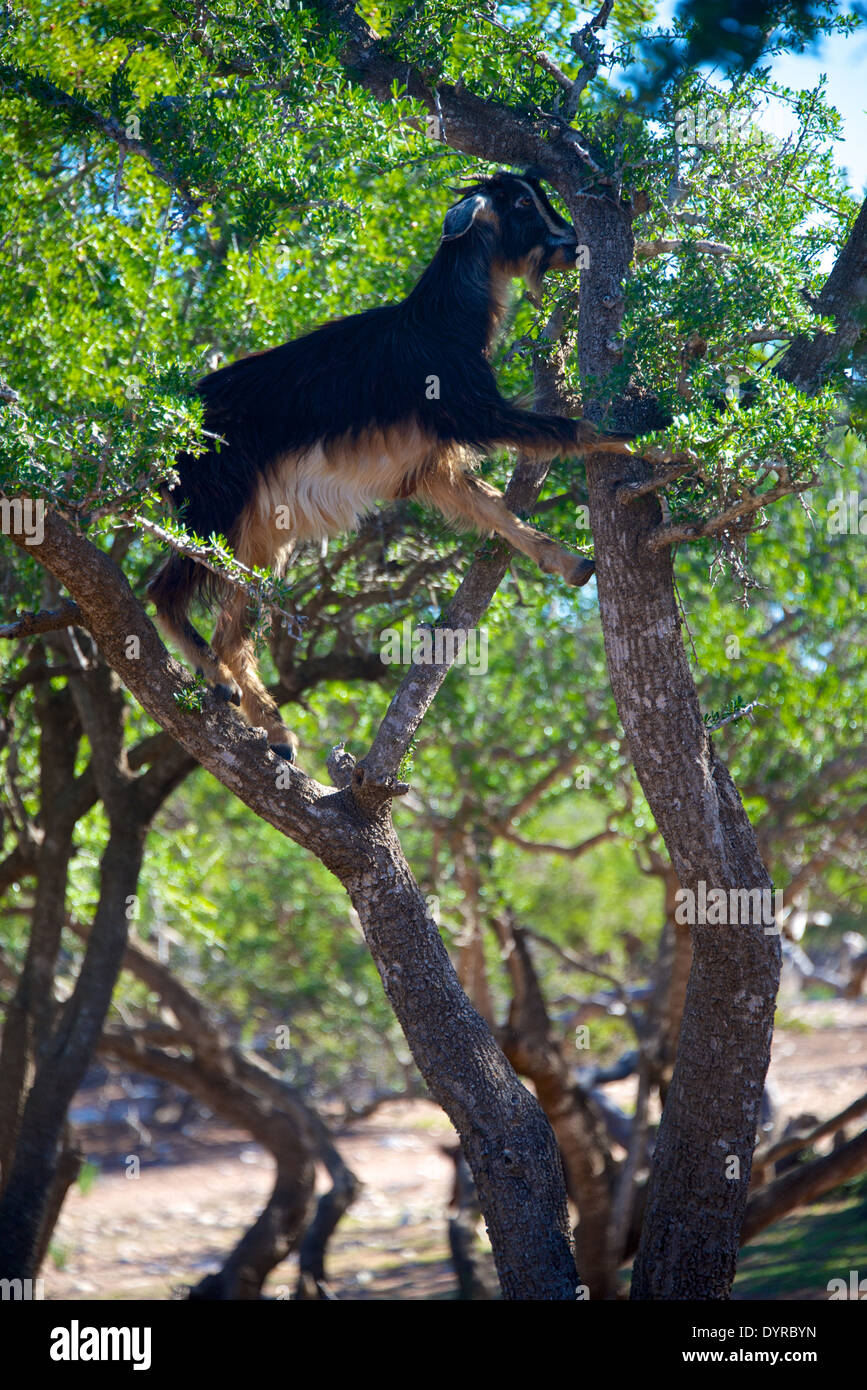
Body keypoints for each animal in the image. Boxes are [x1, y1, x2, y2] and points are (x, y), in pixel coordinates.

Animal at [147, 170, 628, 761]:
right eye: (521, 203)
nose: (573, 242)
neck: (441, 322)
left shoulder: (429, 468)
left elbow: (496, 512)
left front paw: (570, 562)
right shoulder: (472, 411)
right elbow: (563, 430)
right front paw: (638, 440)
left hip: (261, 534)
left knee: (232, 630)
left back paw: (276, 733)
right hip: (217, 506)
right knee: (164, 592)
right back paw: (219, 682)